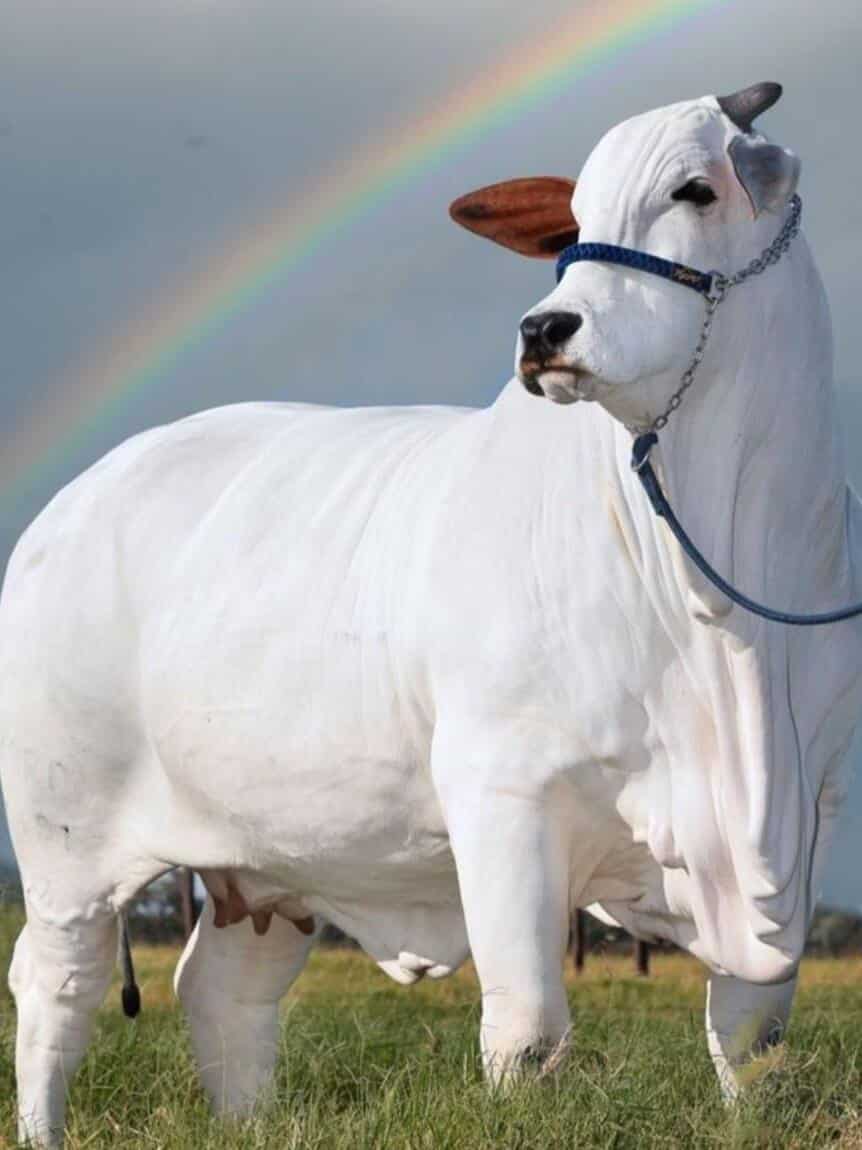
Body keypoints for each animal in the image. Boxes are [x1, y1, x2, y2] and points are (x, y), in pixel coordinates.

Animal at [2, 82, 861, 1145]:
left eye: (694, 189)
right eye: (574, 216)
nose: (545, 330)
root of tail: (72, 500)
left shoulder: (808, 810)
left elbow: (751, 1036)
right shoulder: (503, 794)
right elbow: (529, 1032)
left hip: (270, 859)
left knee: (223, 991)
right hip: (63, 835)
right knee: (56, 986)